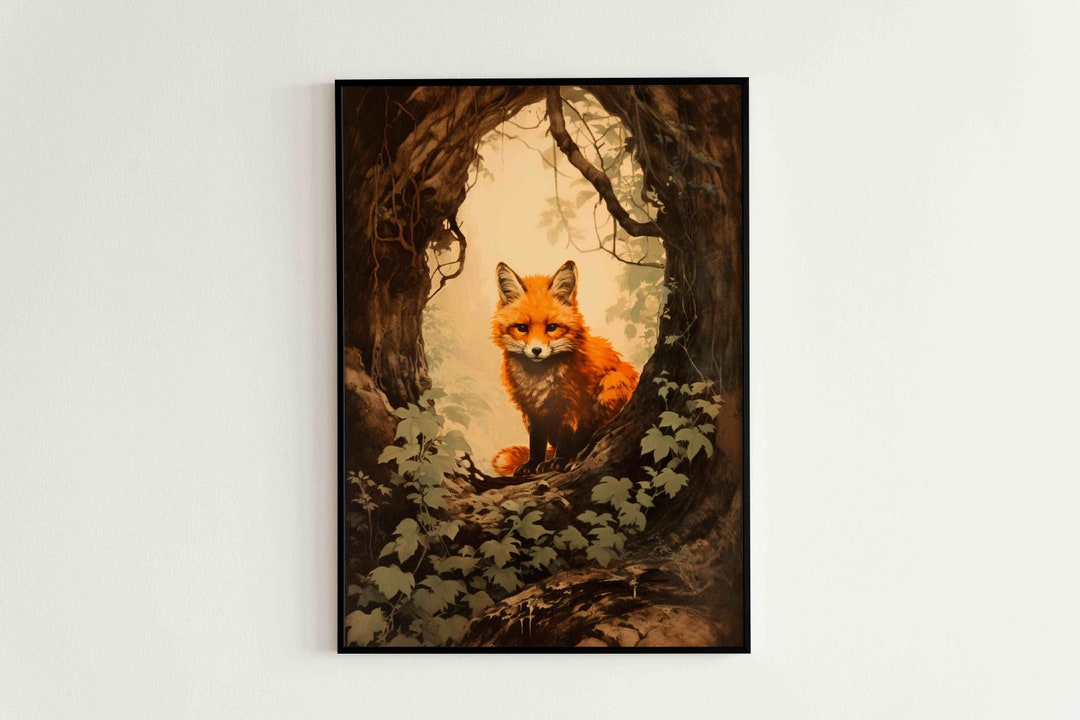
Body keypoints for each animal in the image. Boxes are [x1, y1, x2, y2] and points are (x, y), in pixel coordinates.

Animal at [490, 260, 639, 476]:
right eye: (522, 328)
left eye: (552, 327)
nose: (536, 350)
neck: (539, 380)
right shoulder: (531, 411)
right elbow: (536, 442)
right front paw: (533, 464)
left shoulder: (574, 405)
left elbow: (567, 439)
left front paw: (559, 461)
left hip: (611, 384)